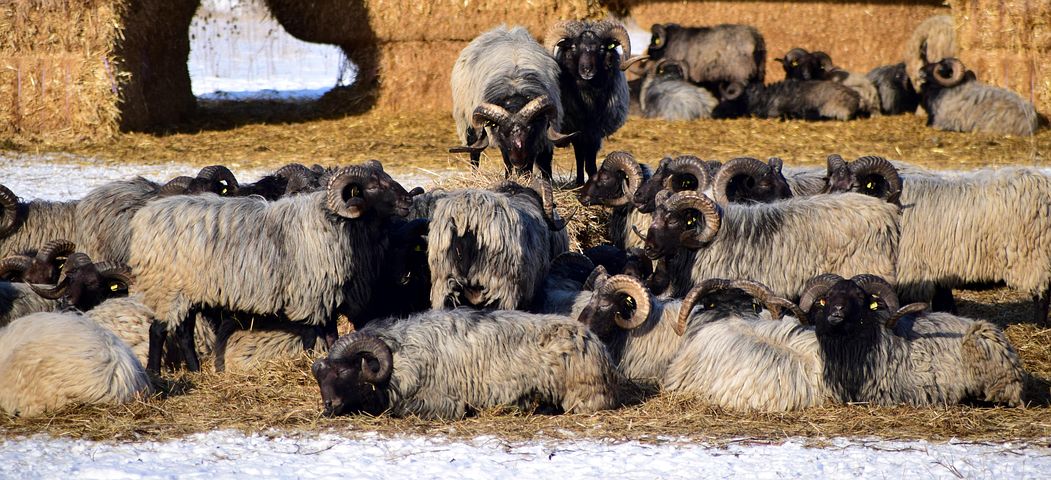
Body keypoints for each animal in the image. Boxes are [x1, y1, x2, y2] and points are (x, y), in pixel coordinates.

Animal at [130, 161, 414, 373]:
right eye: (374, 186)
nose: (408, 200)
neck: (338, 222)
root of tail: (145, 218)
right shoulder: (309, 293)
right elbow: (312, 334)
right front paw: (308, 360)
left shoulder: (327, 295)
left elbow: (329, 334)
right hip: (167, 288)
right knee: (158, 330)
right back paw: (155, 373)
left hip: (189, 292)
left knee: (184, 332)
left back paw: (196, 370)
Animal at [311, 308, 623, 419]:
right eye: (320, 378)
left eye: (344, 370)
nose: (328, 406)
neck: (403, 354)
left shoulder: (443, 403)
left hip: (582, 396)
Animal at [449, 25, 575, 178]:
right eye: (503, 132)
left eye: (530, 129)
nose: (518, 161)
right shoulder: (504, 143)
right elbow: (507, 162)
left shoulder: (541, 136)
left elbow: (541, 163)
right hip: (469, 124)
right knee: (475, 154)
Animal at [545, 19, 642, 185]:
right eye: (573, 47)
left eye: (602, 48)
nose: (587, 70)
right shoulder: (577, 128)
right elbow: (580, 156)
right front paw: (580, 183)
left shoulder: (594, 131)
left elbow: (589, 162)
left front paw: (587, 180)